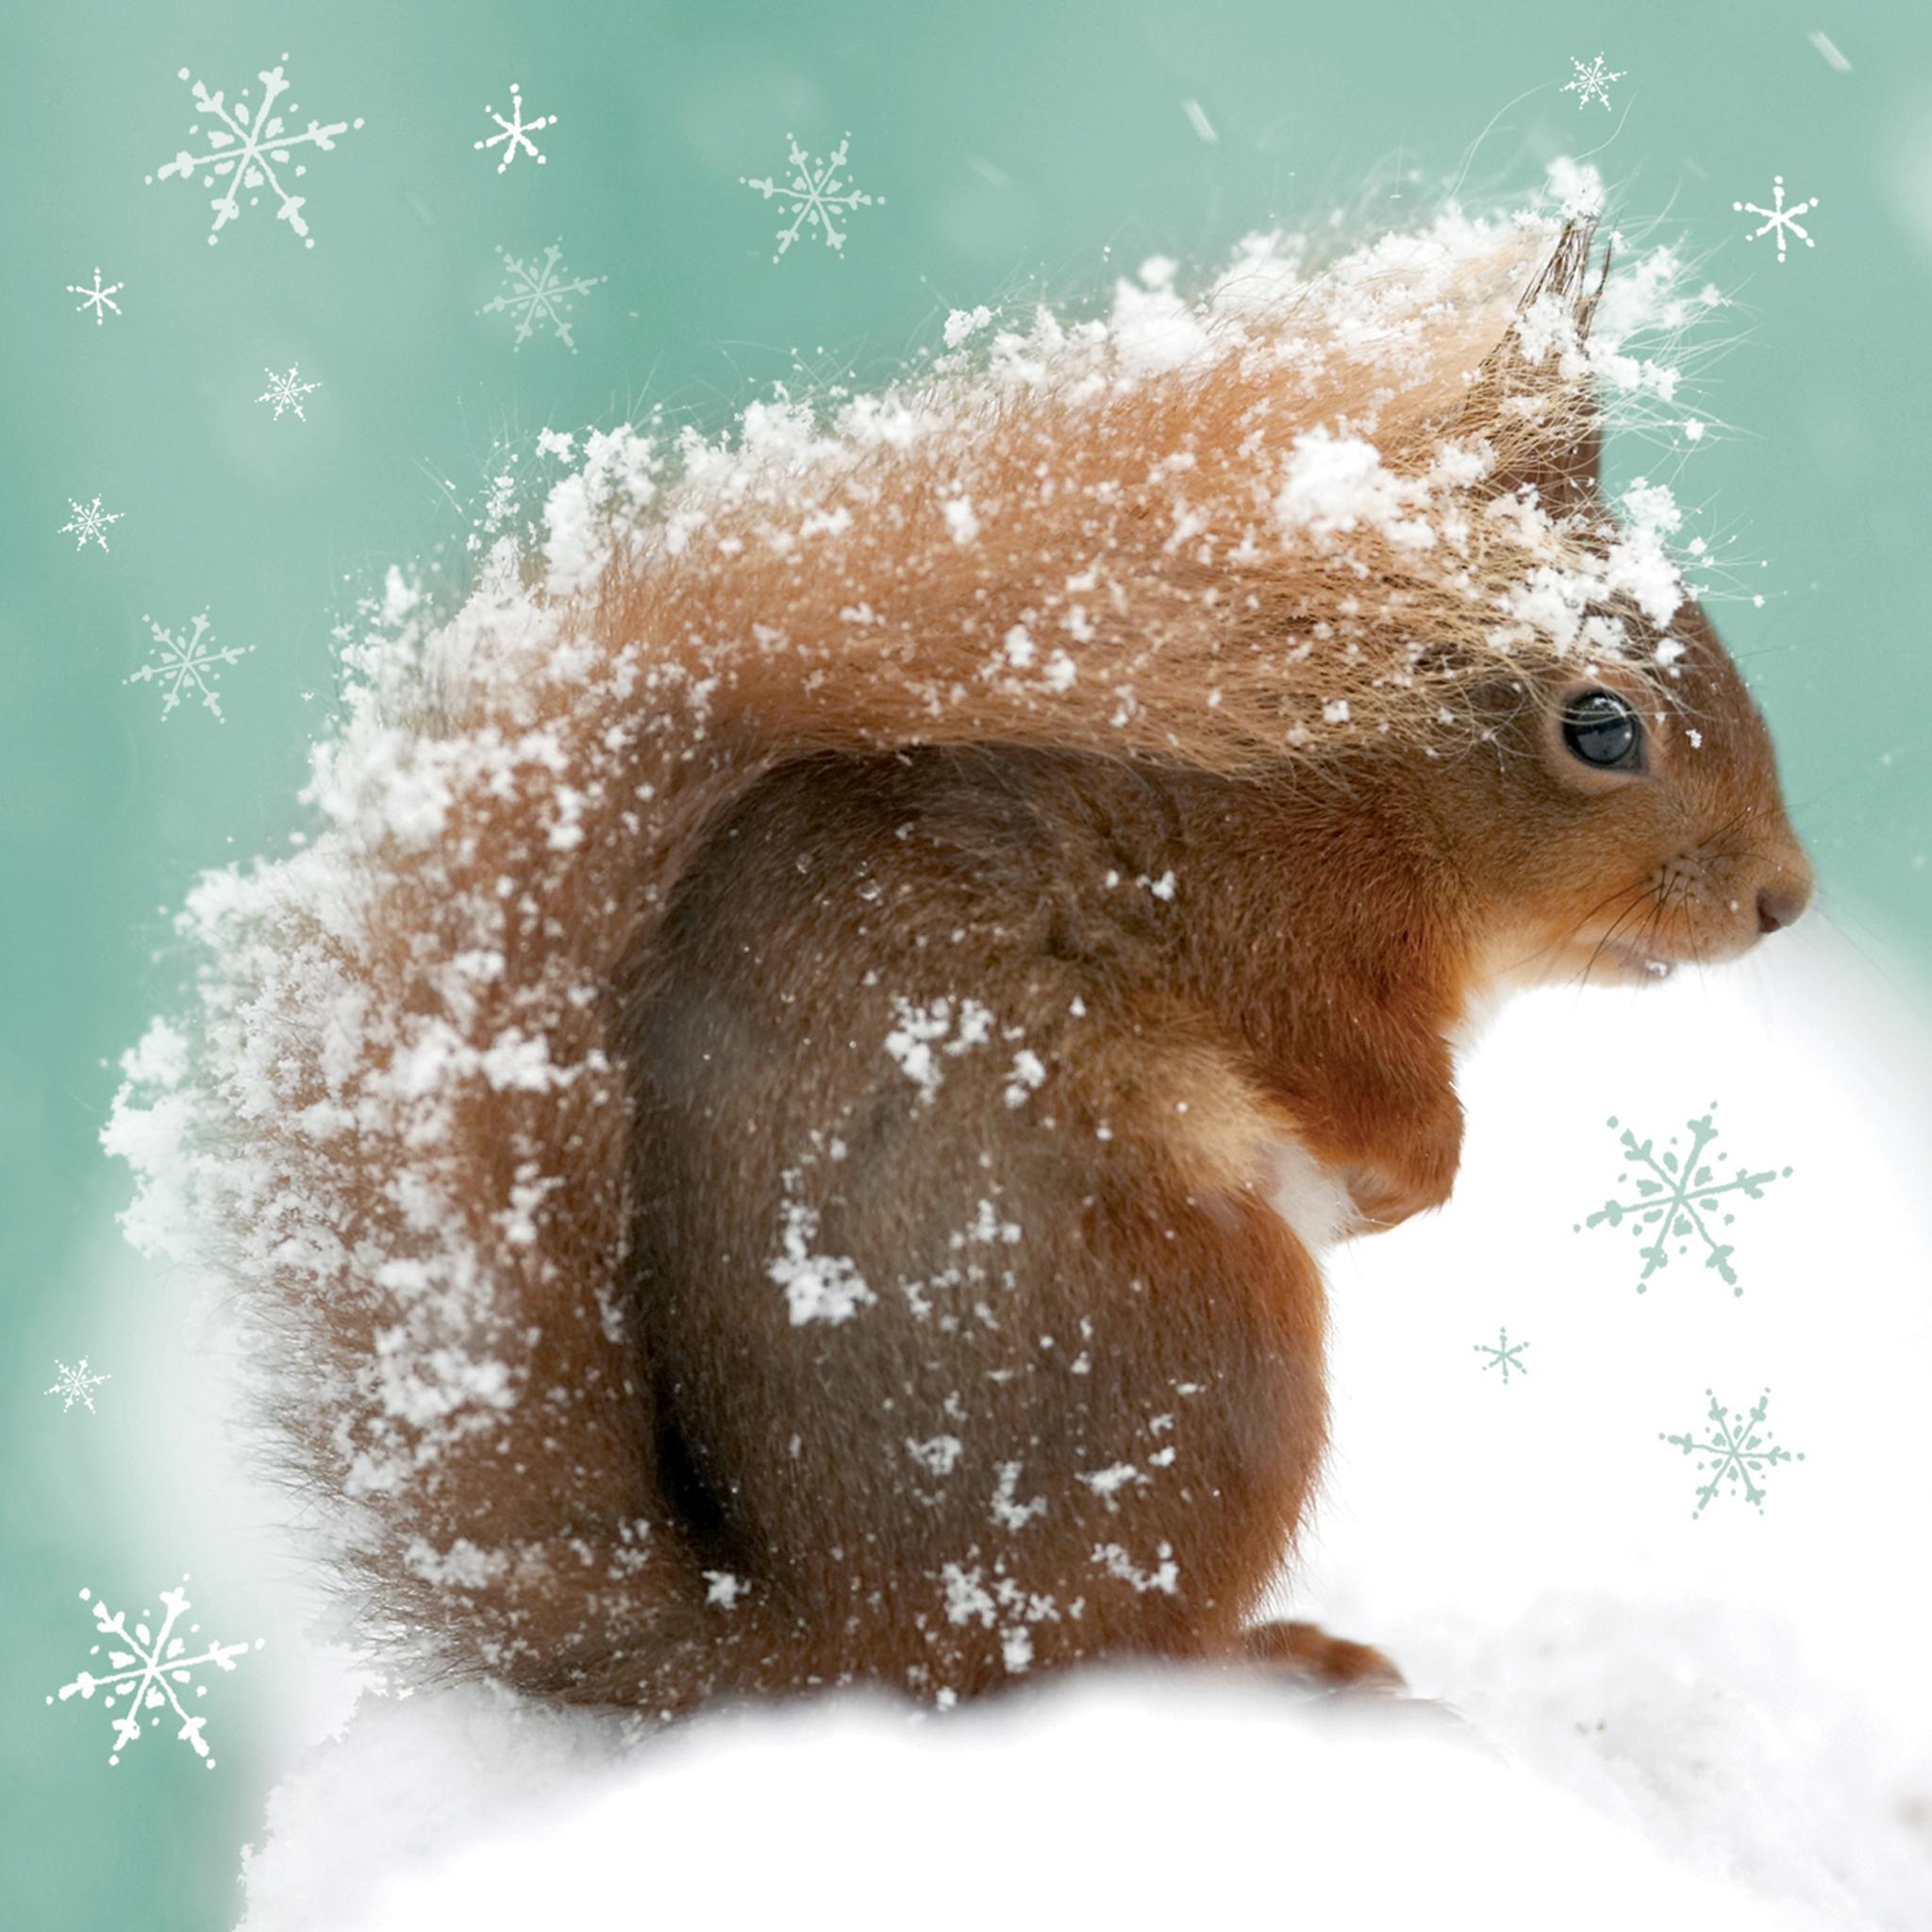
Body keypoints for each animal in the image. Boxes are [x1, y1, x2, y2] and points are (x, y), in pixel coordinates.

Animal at [106, 210, 1813, 1721]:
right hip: (1209, 1342)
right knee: (1084, 1659)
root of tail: (830, 1636)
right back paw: (1272, 1660)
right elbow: (1350, 1073)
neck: (1367, 777)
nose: (1781, 900)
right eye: (1601, 728)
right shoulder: (1276, 933)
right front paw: (1416, 1176)